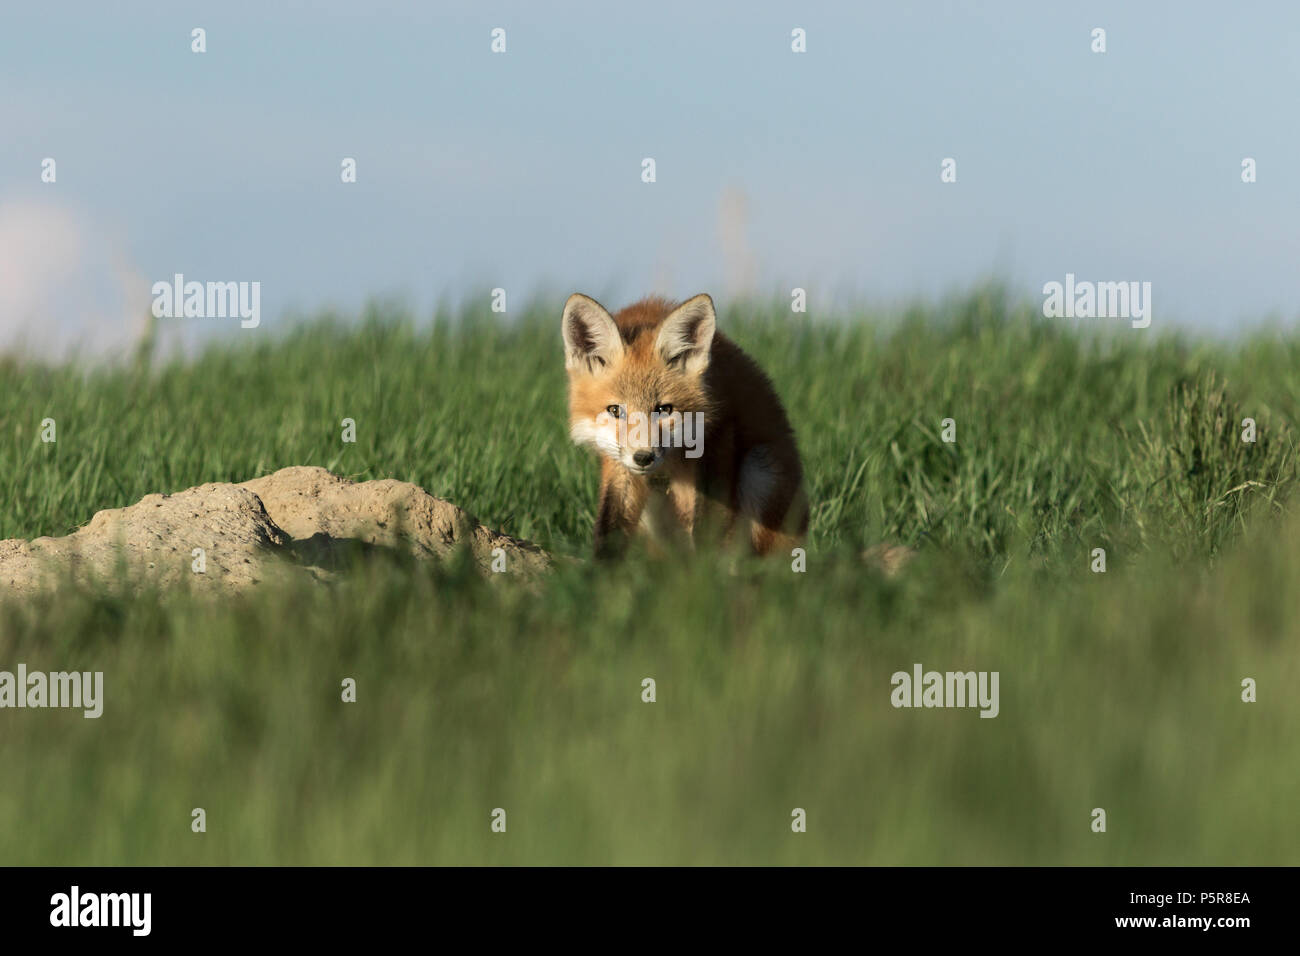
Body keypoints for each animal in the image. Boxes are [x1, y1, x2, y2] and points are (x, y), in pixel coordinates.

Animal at [562, 292, 809, 559]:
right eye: (615, 410)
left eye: (664, 410)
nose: (643, 457)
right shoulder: (619, 464)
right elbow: (610, 525)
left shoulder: (718, 440)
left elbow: (708, 528)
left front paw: (704, 567)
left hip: (760, 468)